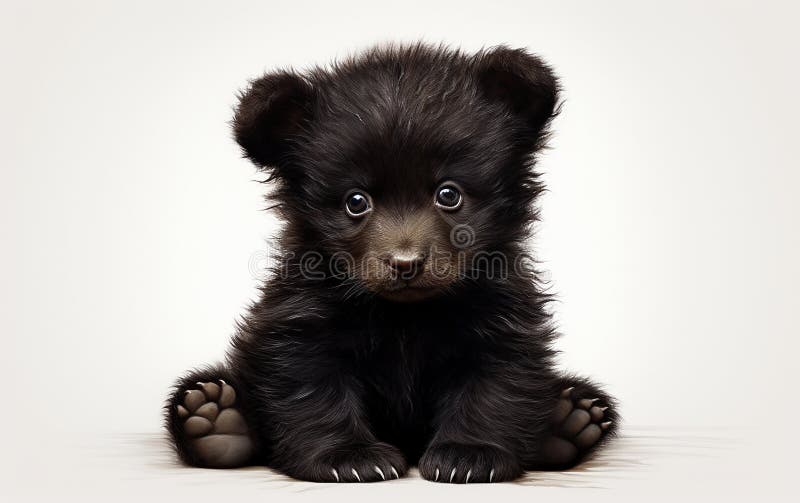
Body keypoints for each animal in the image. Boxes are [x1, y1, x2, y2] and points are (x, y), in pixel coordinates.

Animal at [165, 43, 618, 483]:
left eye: (449, 194)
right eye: (356, 201)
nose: (405, 263)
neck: (405, 317)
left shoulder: (503, 321)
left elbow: (495, 386)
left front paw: (470, 453)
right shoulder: (300, 324)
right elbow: (311, 388)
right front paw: (347, 456)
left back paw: (569, 419)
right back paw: (216, 420)